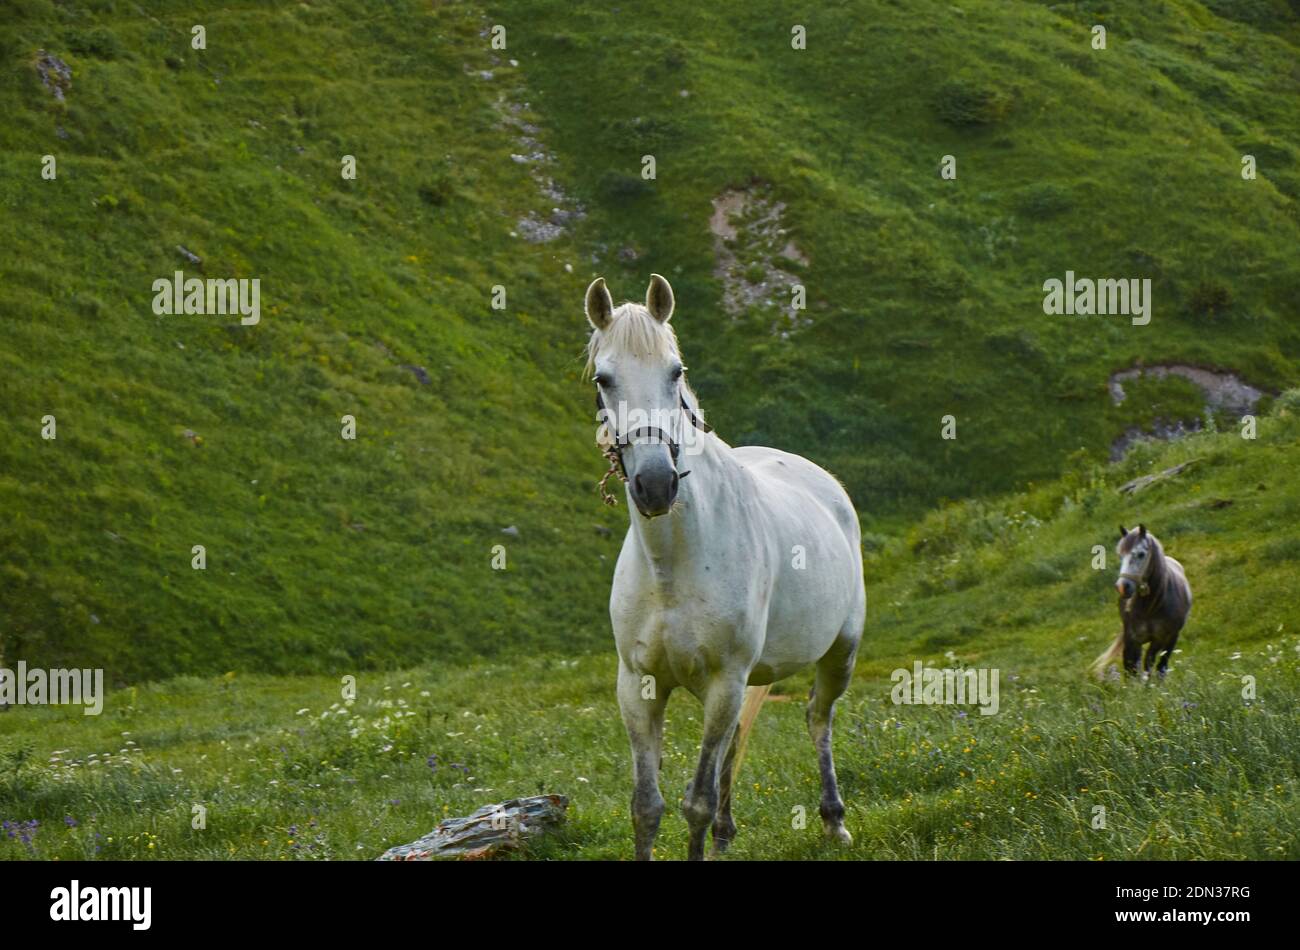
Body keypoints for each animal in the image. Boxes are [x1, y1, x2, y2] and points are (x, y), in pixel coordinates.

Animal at [584, 274, 866, 861]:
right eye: (604, 378)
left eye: (676, 372)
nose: (656, 485)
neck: (672, 566)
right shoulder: (638, 685)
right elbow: (646, 807)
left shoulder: (723, 681)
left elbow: (695, 801)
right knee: (738, 742)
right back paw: (726, 835)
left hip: (839, 654)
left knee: (817, 717)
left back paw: (834, 821)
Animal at [1090, 524, 1192, 680]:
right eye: (1120, 555)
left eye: (1141, 554)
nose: (1122, 587)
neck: (1151, 608)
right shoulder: (1132, 639)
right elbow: (1130, 667)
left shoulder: (1162, 638)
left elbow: (1152, 664)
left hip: (1169, 640)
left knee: (1159, 664)